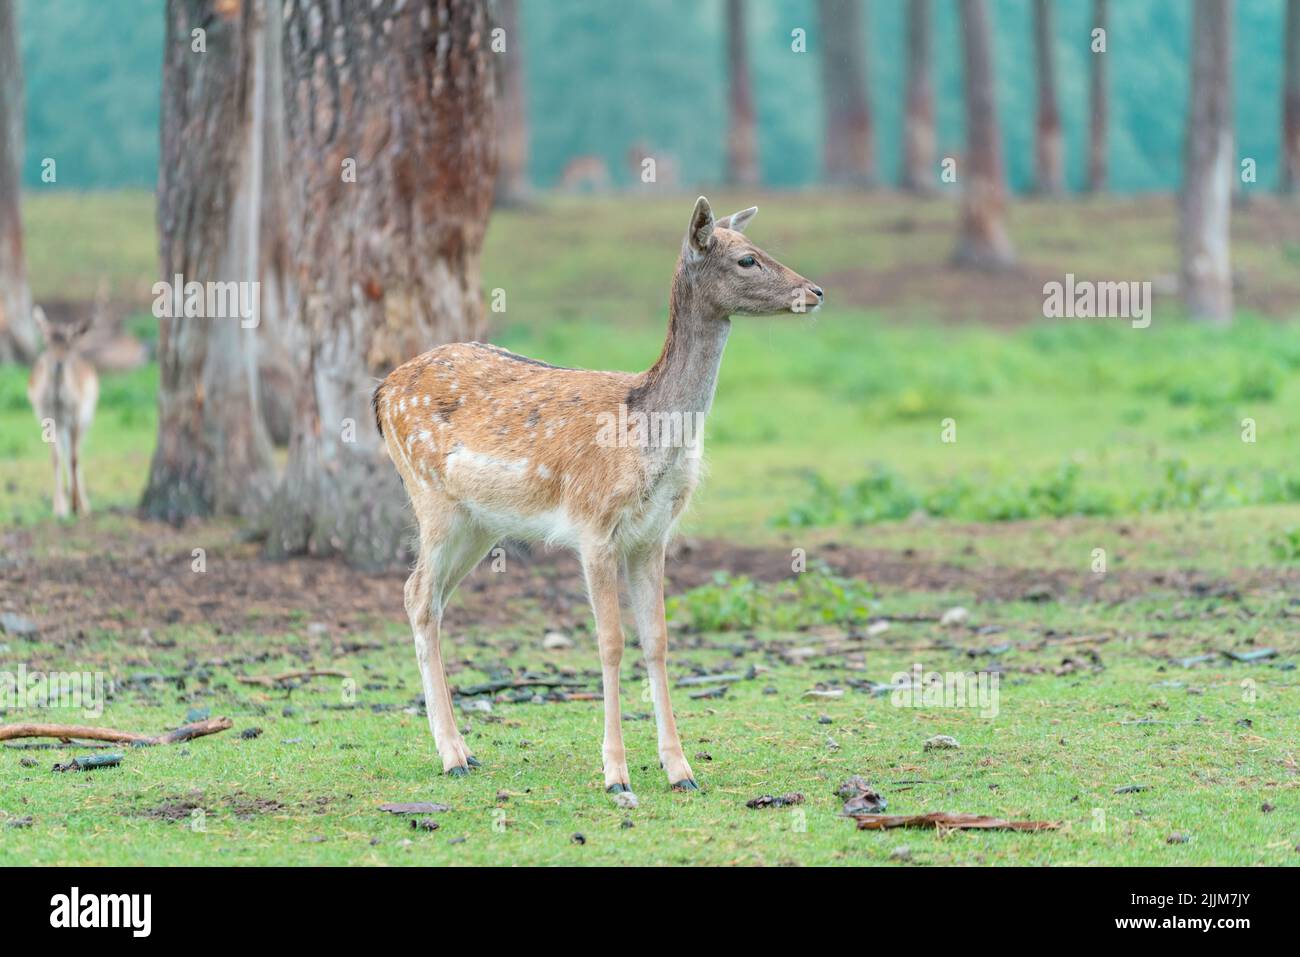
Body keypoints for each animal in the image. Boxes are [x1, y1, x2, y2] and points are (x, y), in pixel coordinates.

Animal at [27, 305, 100, 518]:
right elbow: (56, 458)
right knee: (67, 451)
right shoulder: (48, 417)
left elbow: (74, 458)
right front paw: (59, 508)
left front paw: (75, 505)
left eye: (68, 345)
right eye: (46, 344)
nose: (58, 364)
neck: (59, 403)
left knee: (76, 453)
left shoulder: (76, 416)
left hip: (86, 419)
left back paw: (84, 504)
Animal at [375, 197, 823, 795]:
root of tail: (381, 392)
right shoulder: (593, 527)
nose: (815, 291)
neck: (647, 433)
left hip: (478, 524)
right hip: (432, 500)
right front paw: (616, 774)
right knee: (418, 594)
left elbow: (657, 640)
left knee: (426, 596)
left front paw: (680, 770)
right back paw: (451, 755)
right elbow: (610, 642)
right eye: (747, 259)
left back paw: (466, 749)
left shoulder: (653, 536)